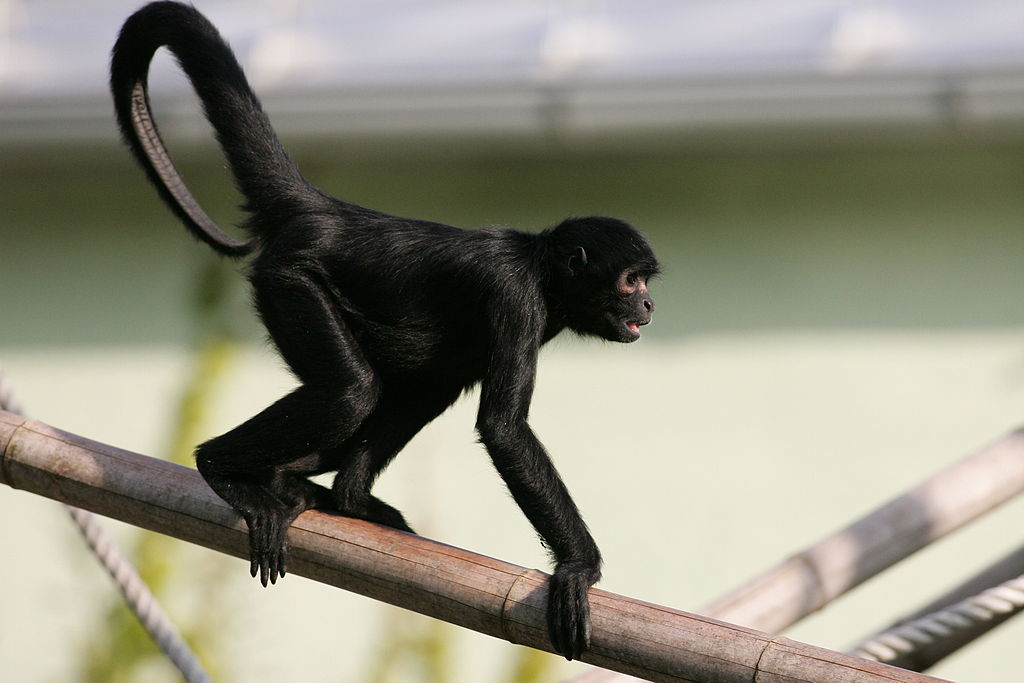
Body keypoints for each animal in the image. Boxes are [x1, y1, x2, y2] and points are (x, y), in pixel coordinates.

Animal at [110, 1, 655, 663]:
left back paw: (332, 492)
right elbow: (503, 428)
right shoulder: (515, 299)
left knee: (421, 386)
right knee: (351, 389)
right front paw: (579, 568)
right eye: (629, 279)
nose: (649, 303)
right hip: (291, 283)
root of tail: (328, 211)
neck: (539, 270)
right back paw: (223, 468)